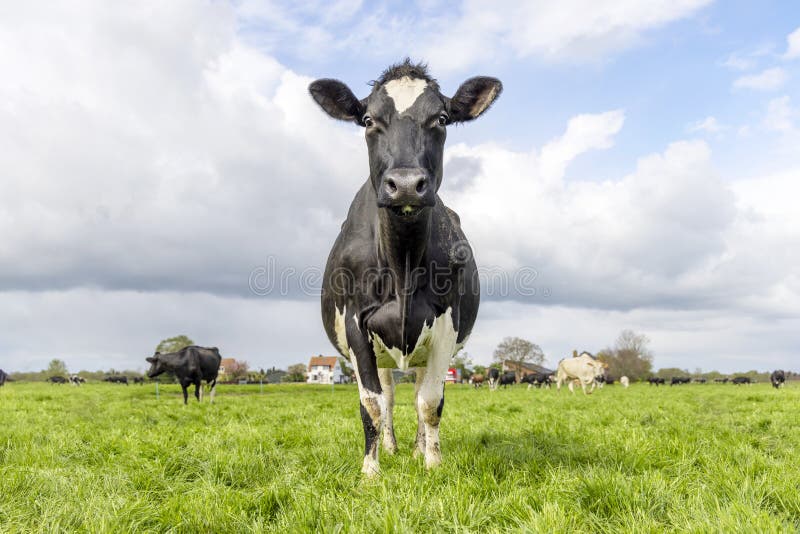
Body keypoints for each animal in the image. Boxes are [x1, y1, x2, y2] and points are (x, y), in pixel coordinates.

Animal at [310, 59, 502, 475]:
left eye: (442, 118)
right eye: (368, 120)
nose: (407, 184)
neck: (402, 265)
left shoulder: (445, 325)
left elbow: (430, 403)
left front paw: (432, 463)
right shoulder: (356, 322)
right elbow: (372, 404)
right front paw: (370, 471)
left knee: (417, 392)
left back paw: (415, 449)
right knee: (390, 395)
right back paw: (392, 447)